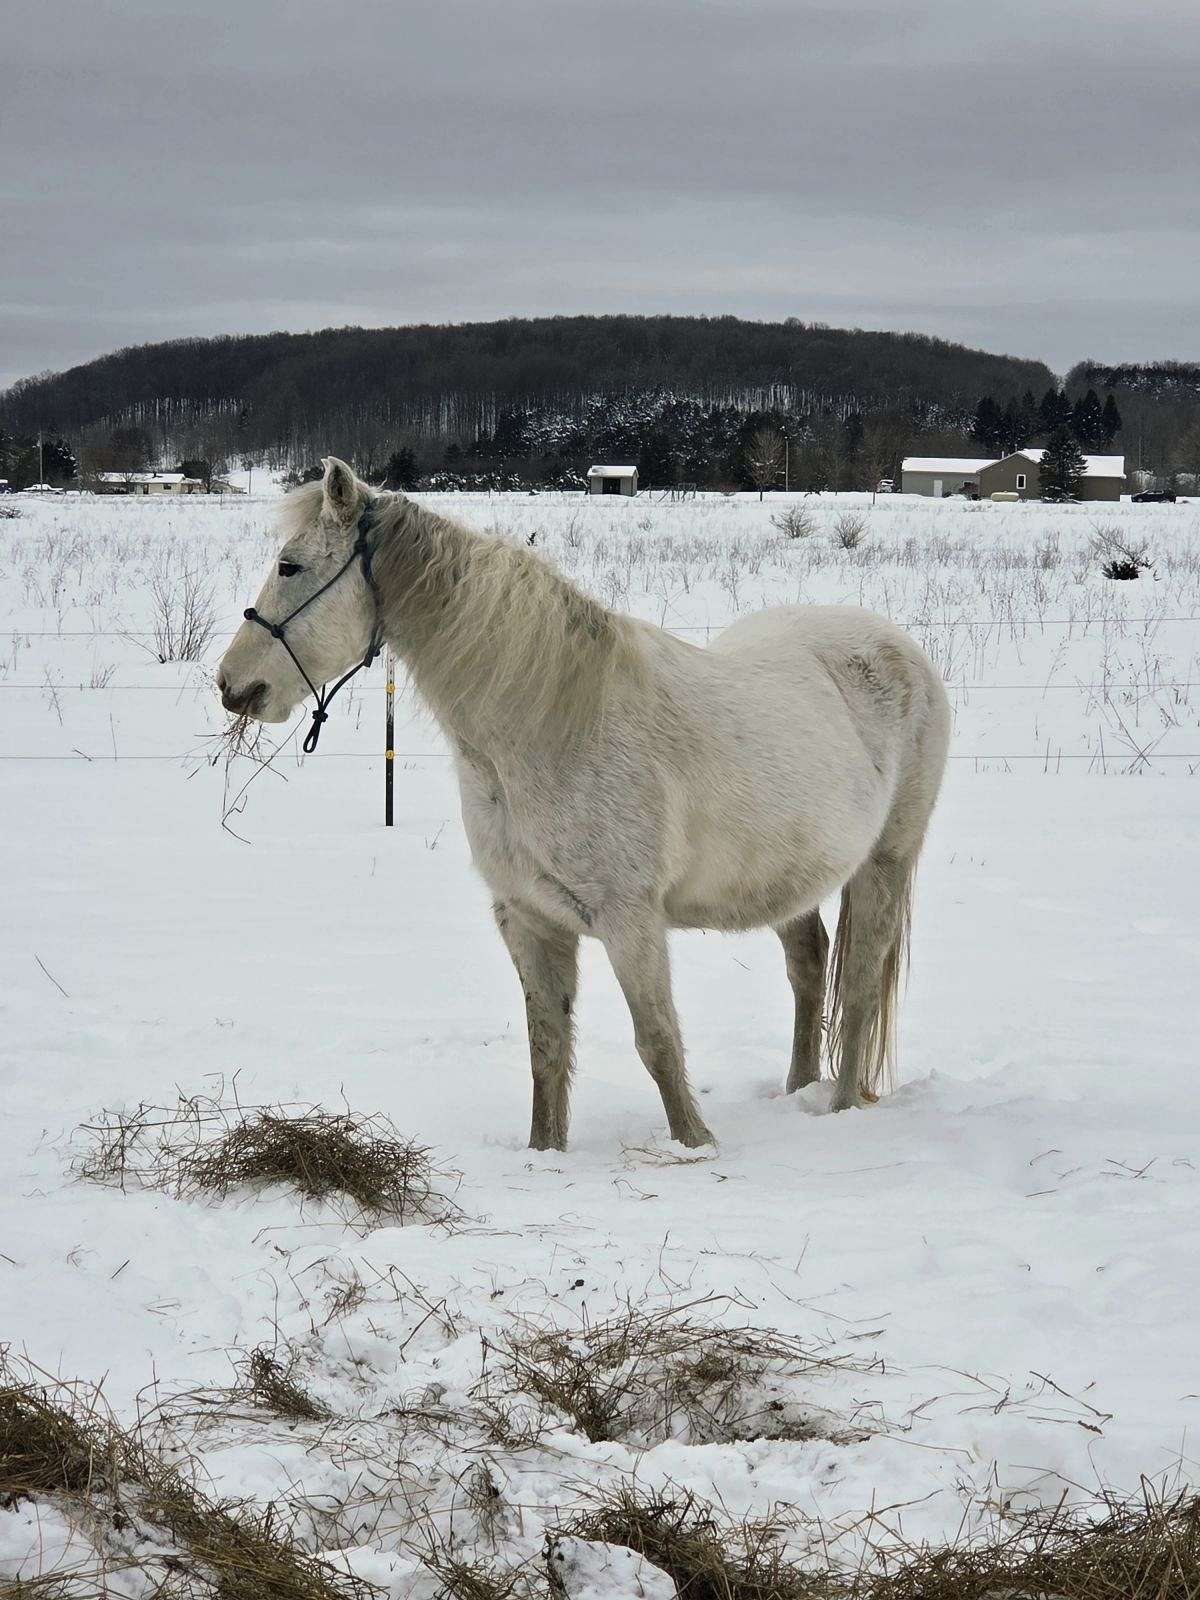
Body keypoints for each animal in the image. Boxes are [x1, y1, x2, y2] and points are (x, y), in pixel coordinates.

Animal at [217, 458, 951, 1151]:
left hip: (885, 863)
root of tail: (895, 646)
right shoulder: (529, 917)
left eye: (290, 565)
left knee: (859, 982)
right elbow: (547, 1050)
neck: (549, 725)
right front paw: (546, 1151)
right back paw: (795, 1091)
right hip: (786, 875)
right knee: (808, 965)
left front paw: (696, 1144)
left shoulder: (631, 921)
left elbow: (658, 1042)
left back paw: (841, 1105)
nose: (233, 685)